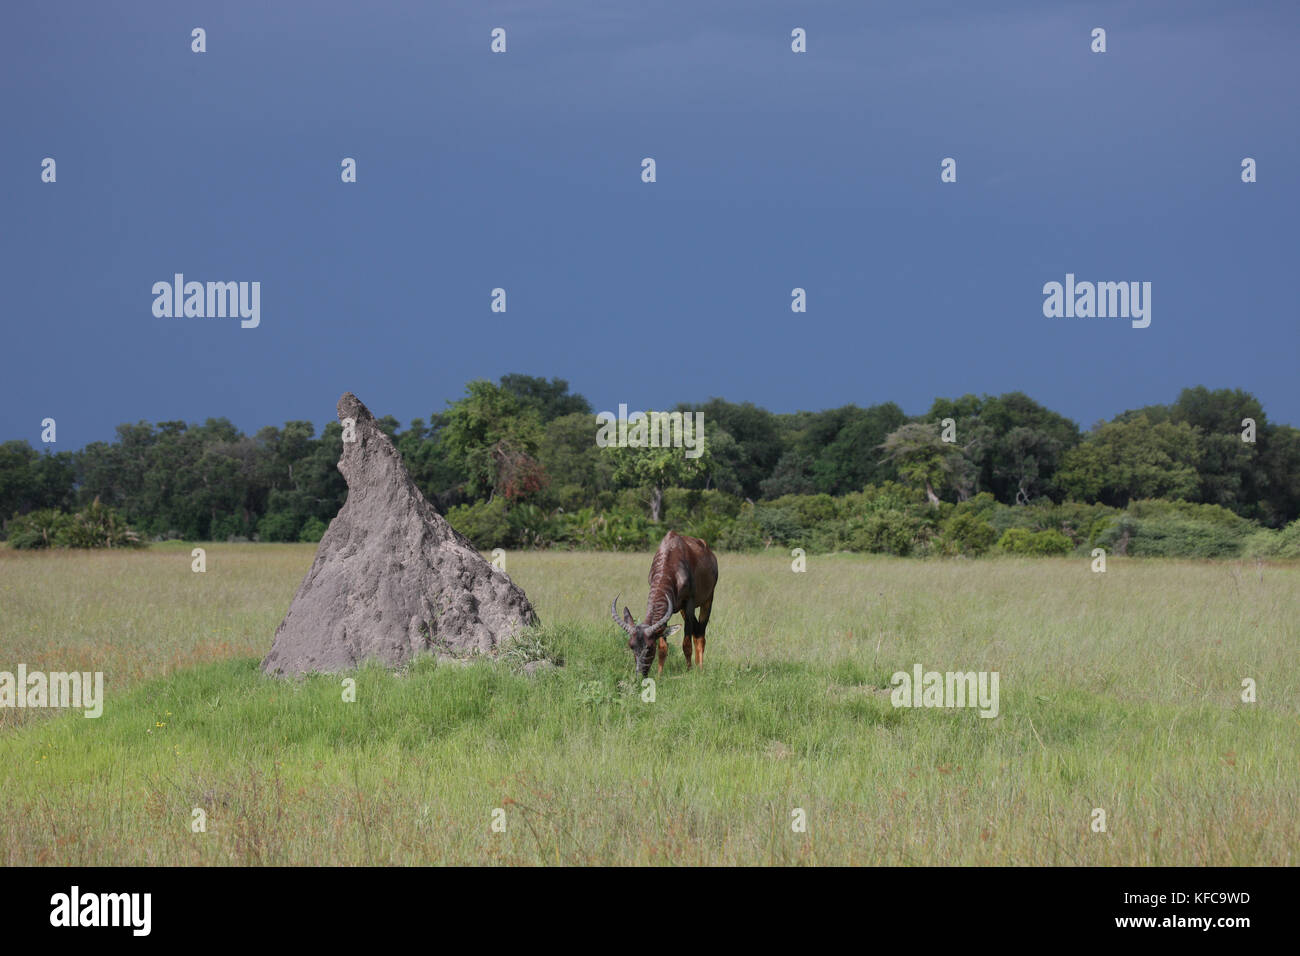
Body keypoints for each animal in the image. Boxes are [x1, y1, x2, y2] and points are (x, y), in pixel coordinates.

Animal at [611, 531, 718, 677]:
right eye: (631, 645)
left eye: (649, 646)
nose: (641, 674)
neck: (671, 557)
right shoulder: (668, 609)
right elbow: (663, 646)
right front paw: (659, 675)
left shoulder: (689, 603)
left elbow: (686, 644)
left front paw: (689, 671)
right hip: (681, 609)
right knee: (696, 631)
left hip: (707, 600)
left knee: (701, 634)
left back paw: (700, 669)